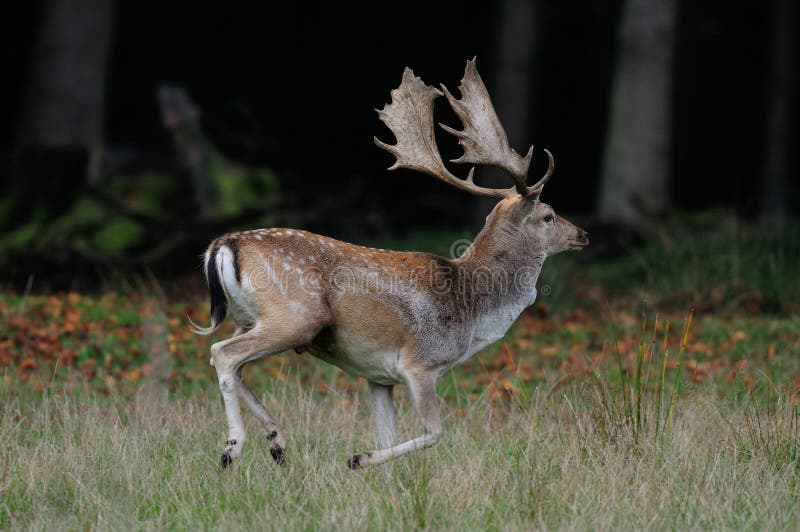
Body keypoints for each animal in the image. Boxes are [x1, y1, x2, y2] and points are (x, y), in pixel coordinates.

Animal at [195, 59, 588, 470]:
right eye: (548, 215)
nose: (583, 234)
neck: (472, 309)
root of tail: (223, 245)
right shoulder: (421, 363)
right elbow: (434, 433)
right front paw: (357, 459)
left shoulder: (378, 377)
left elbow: (387, 435)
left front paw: (370, 470)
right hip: (297, 316)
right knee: (223, 354)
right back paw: (232, 448)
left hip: (249, 317)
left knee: (231, 361)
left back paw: (277, 441)